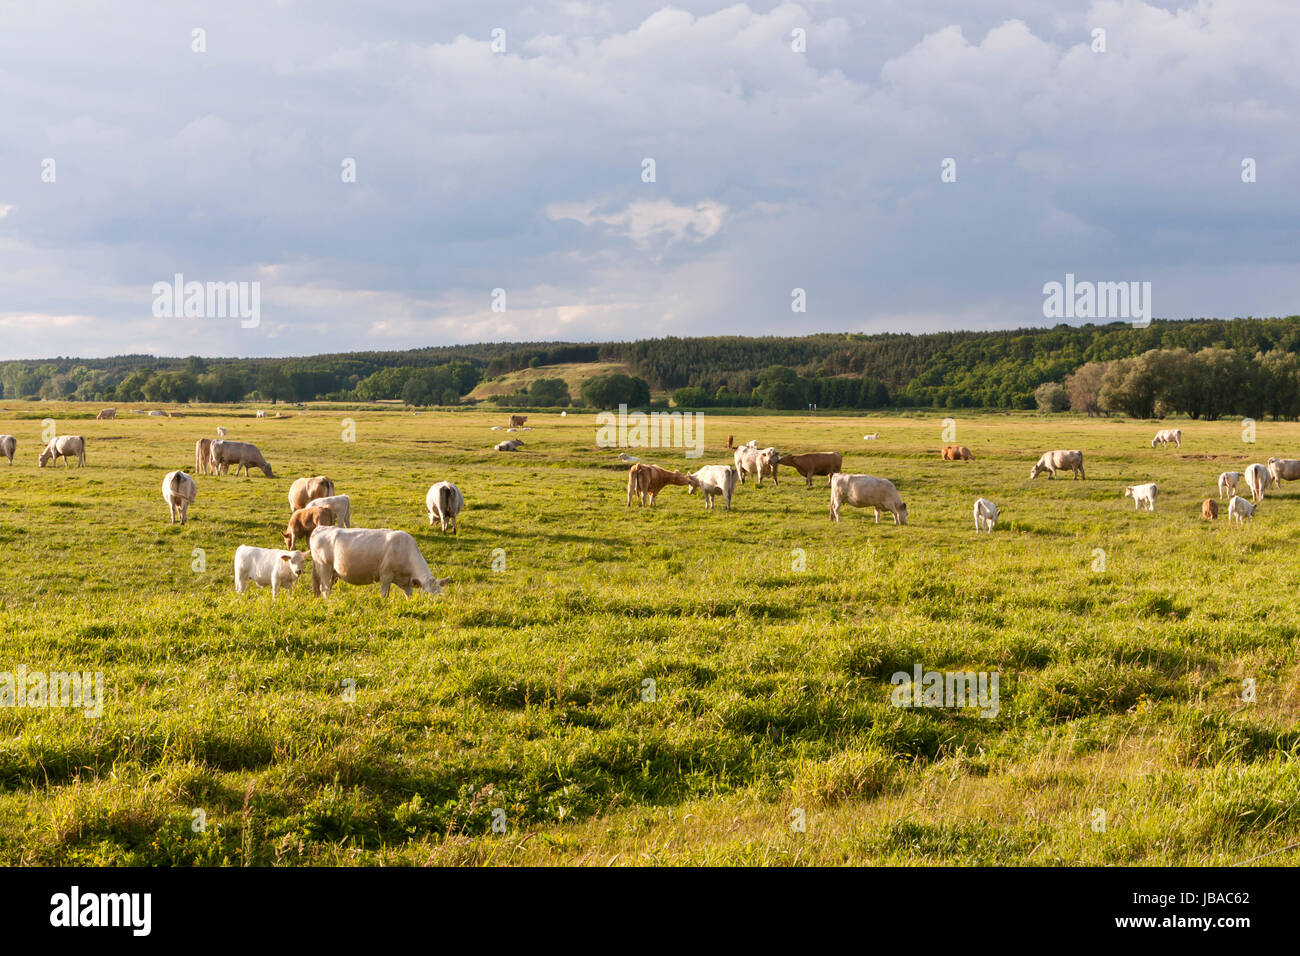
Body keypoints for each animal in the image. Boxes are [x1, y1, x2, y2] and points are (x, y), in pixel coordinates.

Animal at [310, 527, 449, 599]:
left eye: (441, 595)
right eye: (428, 595)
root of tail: (320, 528)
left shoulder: (406, 582)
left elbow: (408, 595)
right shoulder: (386, 575)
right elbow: (384, 595)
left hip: (331, 572)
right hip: (324, 567)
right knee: (325, 588)